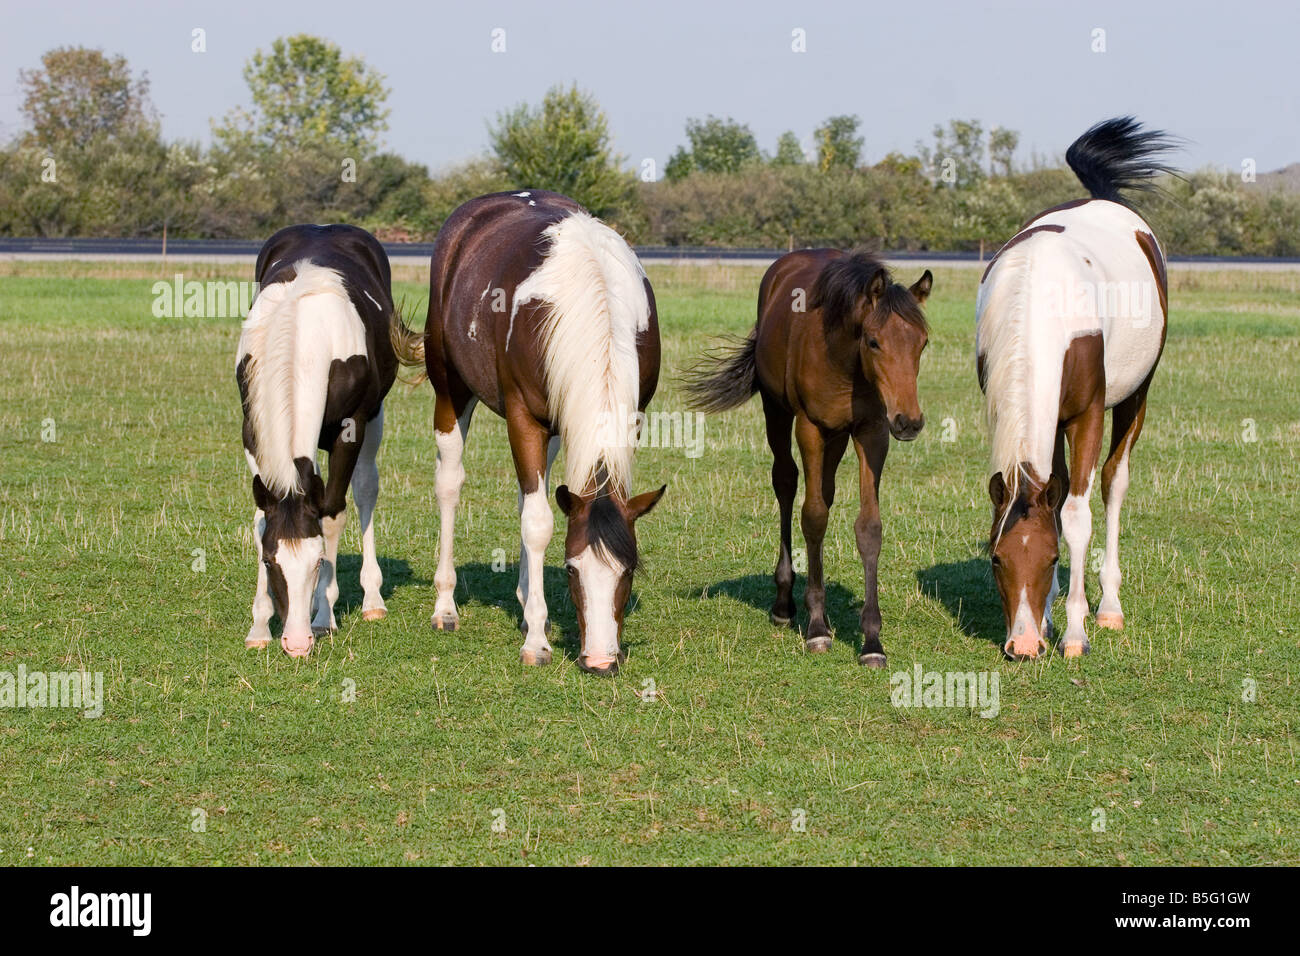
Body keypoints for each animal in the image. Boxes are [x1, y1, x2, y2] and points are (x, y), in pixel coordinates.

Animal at [236, 224, 398, 657]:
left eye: (316, 563)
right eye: (270, 563)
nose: (295, 643)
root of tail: (324, 227)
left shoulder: (350, 430)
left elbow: (332, 515)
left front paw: (324, 615)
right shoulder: (252, 434)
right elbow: (260, 518)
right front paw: (260, 624)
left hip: (373, 420)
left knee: (365, 490)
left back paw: (372, 600)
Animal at [391, 190, 665, 676]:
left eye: (628, 570)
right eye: (571, 569)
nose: (599, 660)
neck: (596, 298)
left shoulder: (630, 416)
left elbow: (537, 509)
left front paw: (533, 614)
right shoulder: (523, 418)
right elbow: (538, 525)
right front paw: (537, 641)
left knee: (527, 495)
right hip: (451, 388)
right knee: (450, 483)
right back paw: (446, 606)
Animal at [684, 250, 931, 666]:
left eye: (923, 343)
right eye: (874, 341)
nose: (909, 421)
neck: (843, 359)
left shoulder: (872, 431)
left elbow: (869, 527)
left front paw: (872, 641)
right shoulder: (810, 428)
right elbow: (812, 517)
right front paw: (817, 627)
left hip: (838, 436)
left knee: (825, 492)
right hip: (778, 413)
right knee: (786, 483)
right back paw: (785, 602)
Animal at [975, 116, 1177, 660]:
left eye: (1049, 560)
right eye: (997, 559)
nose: (1022, 645)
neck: (1034, 301)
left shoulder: (1086, 415)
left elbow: (1075, 517)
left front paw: (1074, 631)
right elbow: (1056, 500)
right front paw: (1049, 617)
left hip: (1135, 398)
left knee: (1112, 483)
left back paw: (1108, 606)